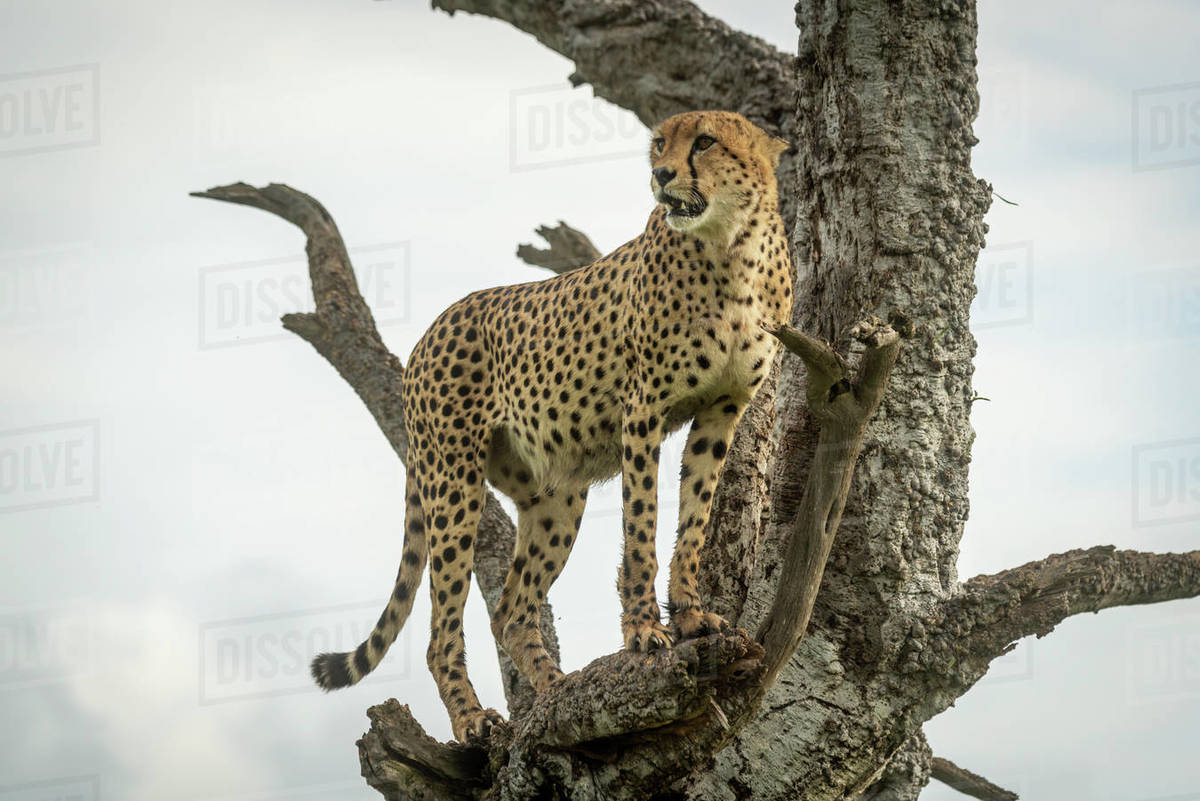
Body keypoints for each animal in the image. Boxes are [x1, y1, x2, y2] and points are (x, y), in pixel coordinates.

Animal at [311, 110, 793, 742]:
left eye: (706, 142)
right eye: (659, 144)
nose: (661, 174)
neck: (733, 244)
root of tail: (429, 332)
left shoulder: (721, 409)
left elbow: (693, 520)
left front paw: (690, 615)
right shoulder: (642, 410)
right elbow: (641, 527)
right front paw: (644, 631)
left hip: (555, 495)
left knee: (513, 609)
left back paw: (556, 691)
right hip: (453, 481)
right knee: (445, 627)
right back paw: (474, 720)